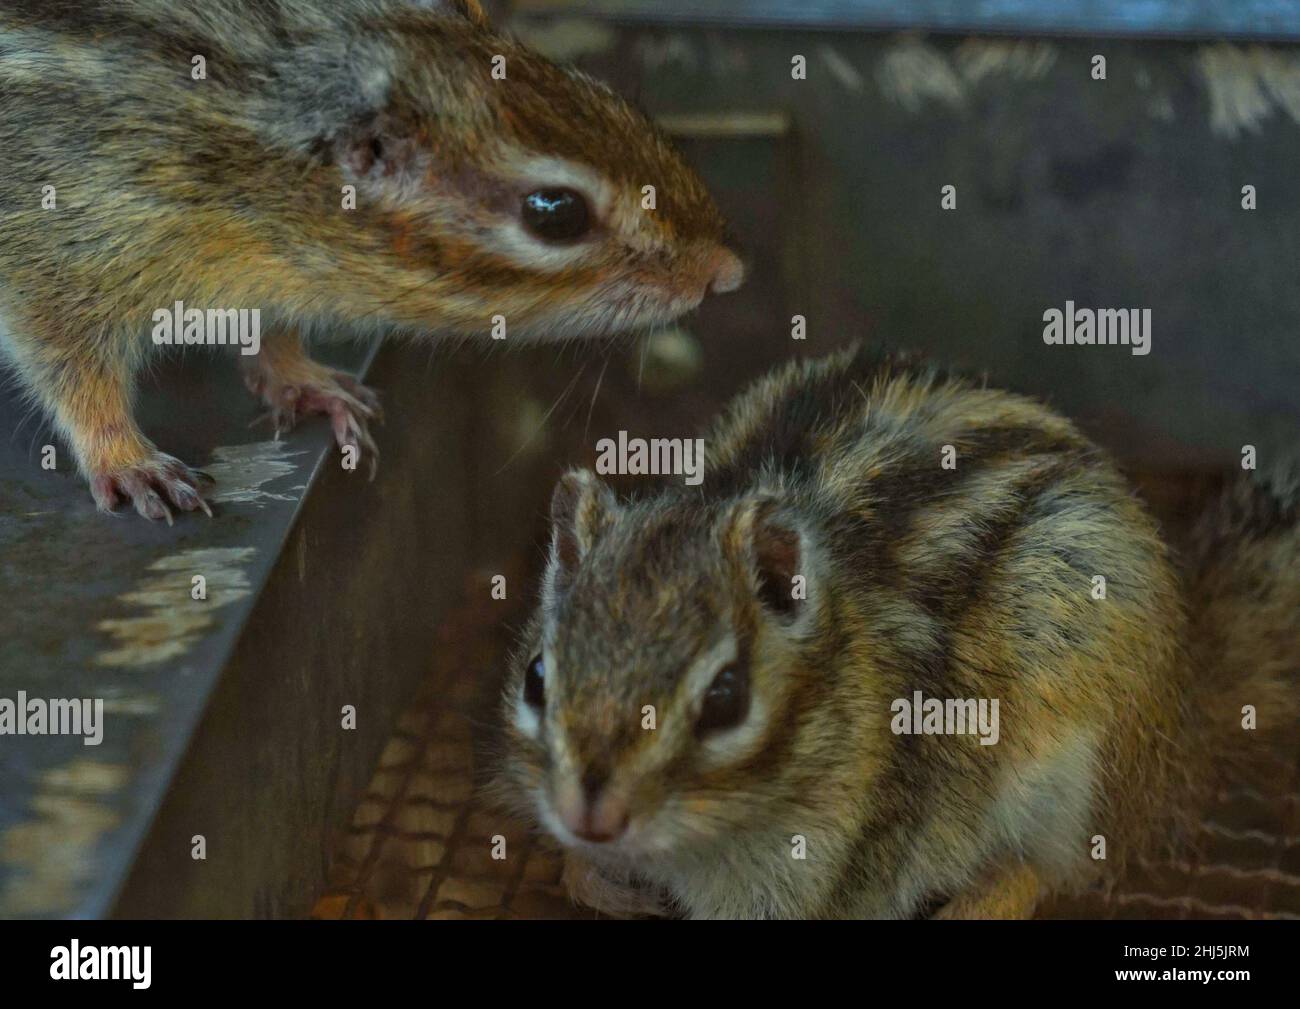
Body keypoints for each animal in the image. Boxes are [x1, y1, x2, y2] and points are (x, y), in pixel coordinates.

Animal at [0, 0, 742, 520]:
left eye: (602, 95)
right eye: (555, 212)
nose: (726, 272)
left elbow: (271, 332)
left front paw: (303, 380)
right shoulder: (62, 246)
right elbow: (72, 370)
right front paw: (126, 458)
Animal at [494, 344, 1298, 919]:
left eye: (725, 699)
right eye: (536, 677)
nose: (589, 815)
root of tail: (1188, 696)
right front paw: (594, 877)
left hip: (1080, 767)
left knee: (1048, 868)